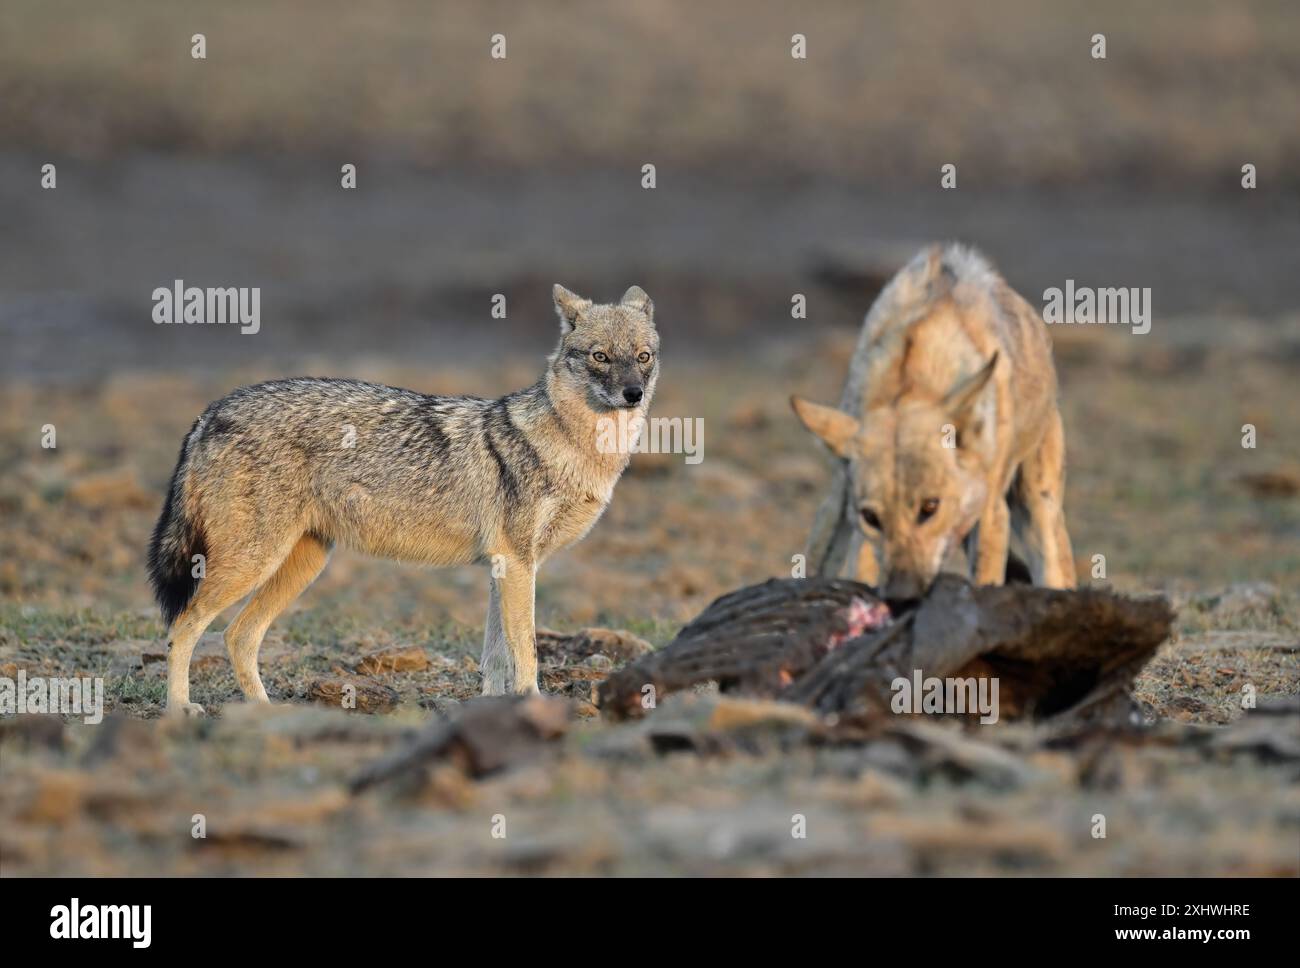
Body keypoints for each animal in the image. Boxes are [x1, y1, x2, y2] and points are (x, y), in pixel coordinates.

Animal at [148, 285, 658, 715]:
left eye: (643, 356)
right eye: (599, 356)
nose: (632, 394)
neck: (578, 449)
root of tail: (210, 411)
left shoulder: (505, 565)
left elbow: (496, 654)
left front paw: (493, 709)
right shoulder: (516, 563)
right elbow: (525, 649)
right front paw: (531, 702)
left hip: (301, 565)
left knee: (239, 636)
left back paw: (265, 713)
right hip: (252, 562)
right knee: (183, 627)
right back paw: (180, 709)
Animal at [791, 243, 1075, 600]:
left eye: (930, 508)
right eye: (872, 517)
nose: (903, 595)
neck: (910, 378)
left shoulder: (992, 515)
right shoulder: (847, 512)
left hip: (1038, 512)